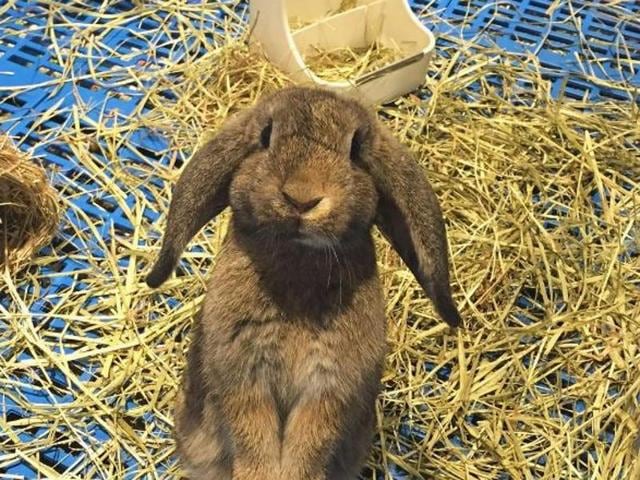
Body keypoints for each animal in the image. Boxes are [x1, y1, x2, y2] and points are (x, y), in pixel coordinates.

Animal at [146, 86, 462, 480]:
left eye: (355, 149)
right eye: (266, 136)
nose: (301, 198)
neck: (298, 261)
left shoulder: (329, 390)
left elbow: (310, 445)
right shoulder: (244, 380)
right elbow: (254, 441)